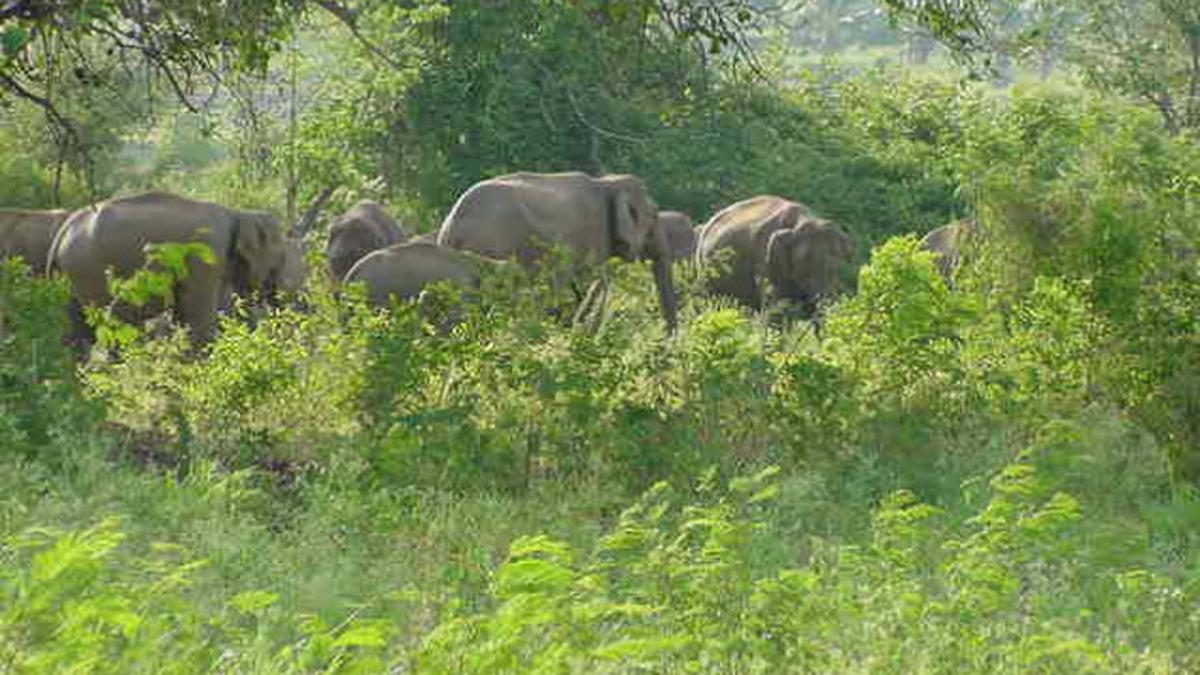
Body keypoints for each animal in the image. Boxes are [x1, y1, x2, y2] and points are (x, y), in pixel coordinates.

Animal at [47, 191, 290, 345]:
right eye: (280, 260)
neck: (238, 213)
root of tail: (65, 228)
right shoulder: (207, 253)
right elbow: (198, 314)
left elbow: (185, 312)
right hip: (92, 271)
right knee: (114, 324)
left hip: (72, 276)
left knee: (79, 329)